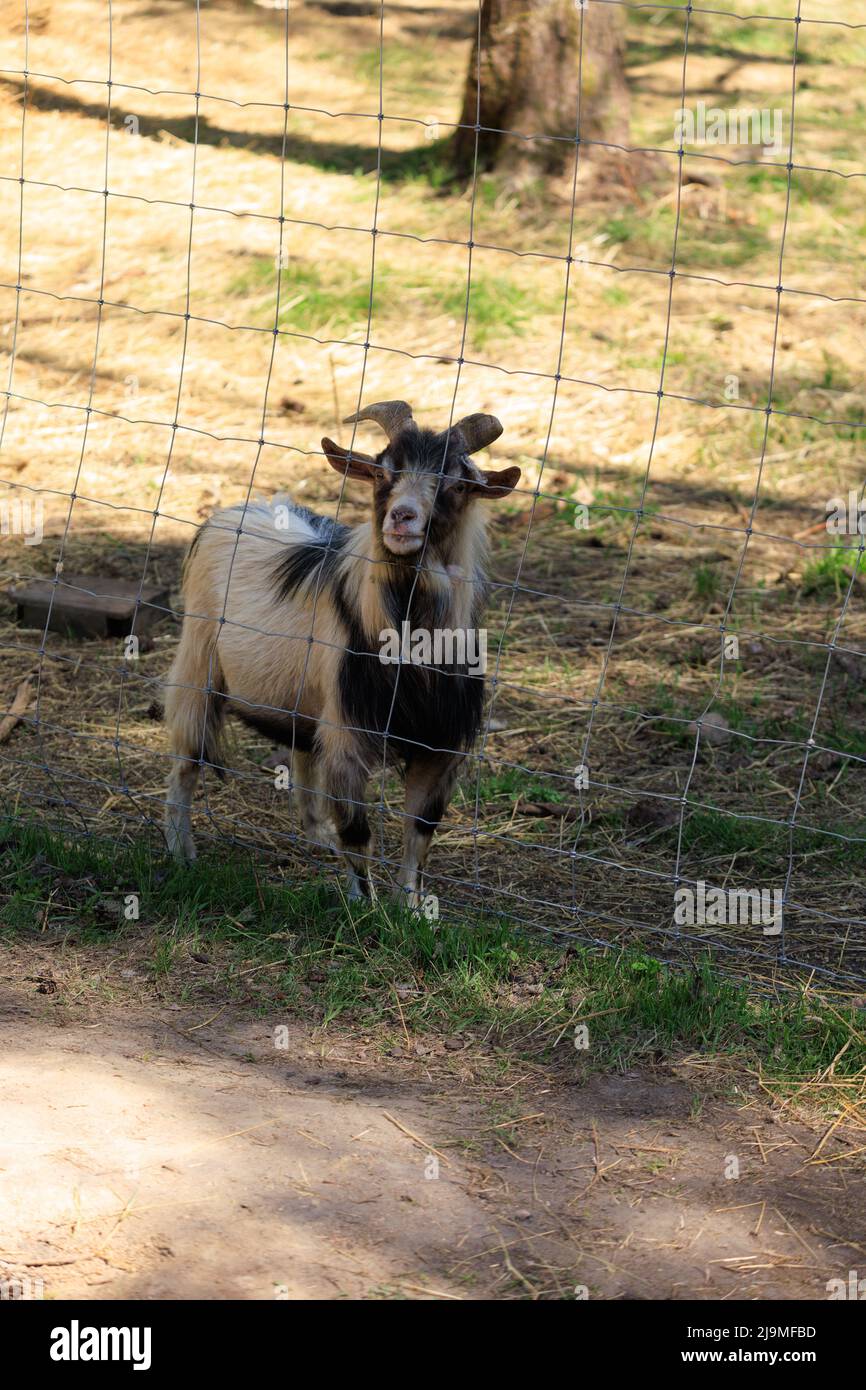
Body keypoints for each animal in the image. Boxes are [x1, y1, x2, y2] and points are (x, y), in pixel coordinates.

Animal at [163, 399, 521, 903]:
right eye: (383, 470)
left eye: (456, 481)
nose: (402, 517)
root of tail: (239, 510)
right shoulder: (349, 735)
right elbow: (358, 831)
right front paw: (363, 905)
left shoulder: (440, 742)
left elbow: (419, 834)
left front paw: (410, 907)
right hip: (198, 669)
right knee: (186, 762)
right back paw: (181, 853)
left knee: (302, 757)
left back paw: (316, 840)